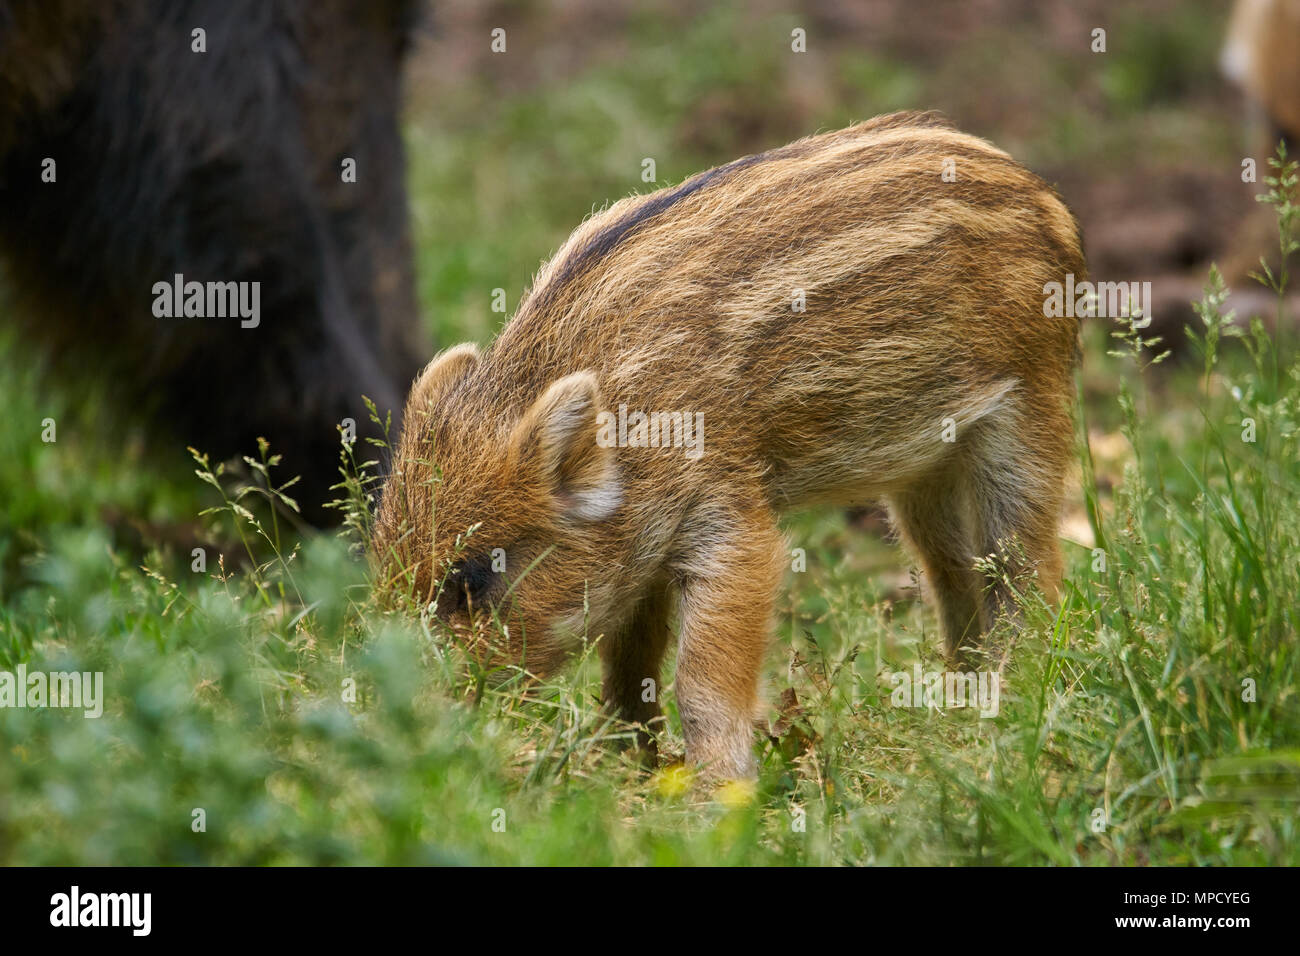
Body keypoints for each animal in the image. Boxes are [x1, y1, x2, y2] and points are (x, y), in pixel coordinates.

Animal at [373, 111, 1086, 779]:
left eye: (470, 579)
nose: (404, 729)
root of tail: (1040, 193)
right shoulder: (643, 542)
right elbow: (629, 661)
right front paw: (623, 768)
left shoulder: (726, 511)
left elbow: (702, 676)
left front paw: (718, 793)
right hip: (926, 464)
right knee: (953, 570)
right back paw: (961, 706)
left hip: (1028, 413)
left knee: (1026, 568)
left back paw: (1008, 709)